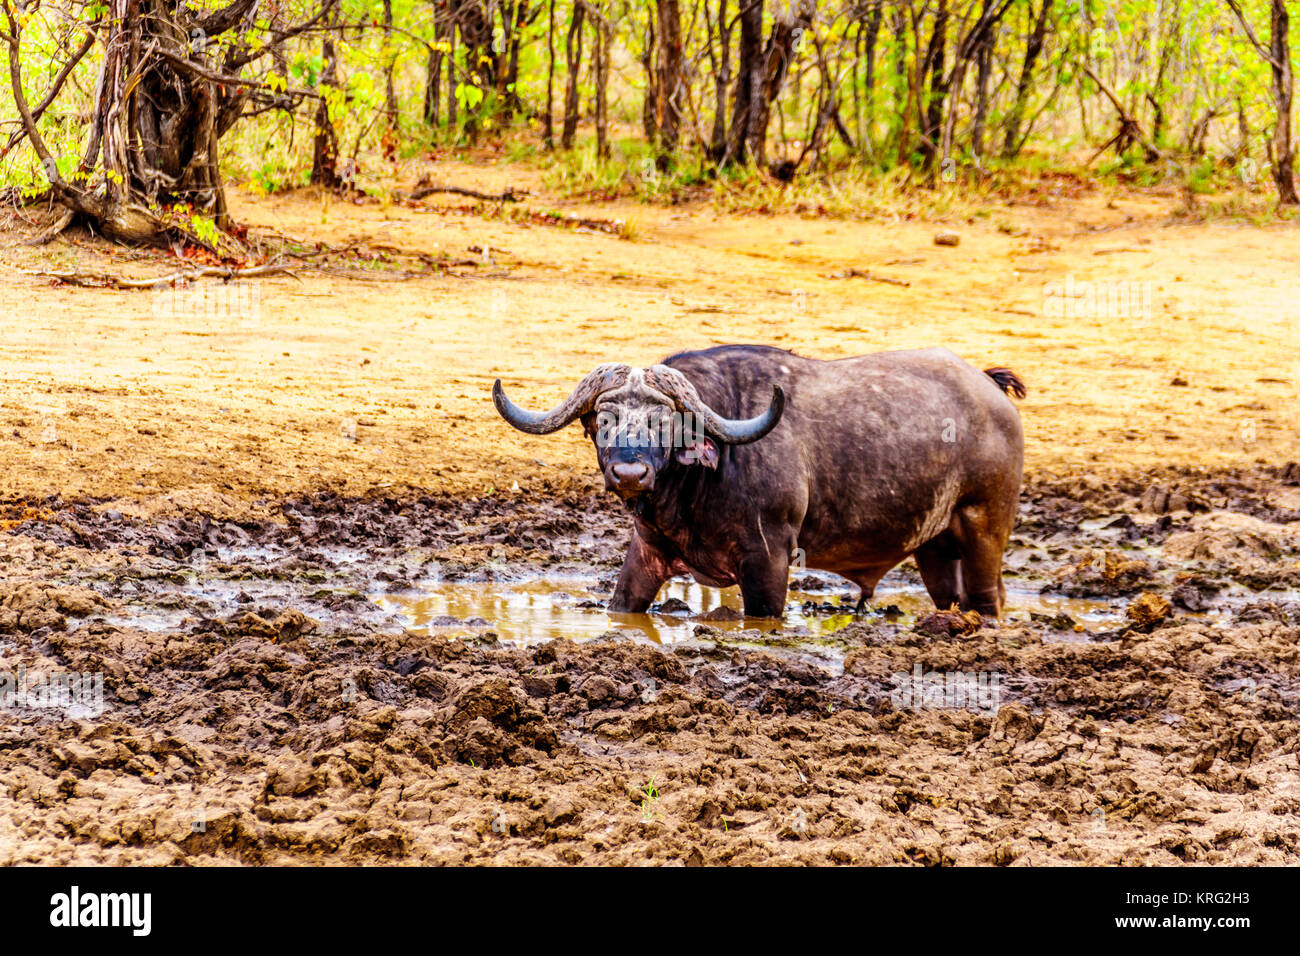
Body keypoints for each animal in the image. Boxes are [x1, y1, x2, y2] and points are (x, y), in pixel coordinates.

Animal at [493, 345, 1025, 619]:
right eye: (604, 419)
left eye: (665, 423)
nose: (629, 473)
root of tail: (988, 385)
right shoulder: (646, 553)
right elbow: (624, 603)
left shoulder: (769, 560)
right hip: (935, 546)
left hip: (986, 529)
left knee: (988, 599)